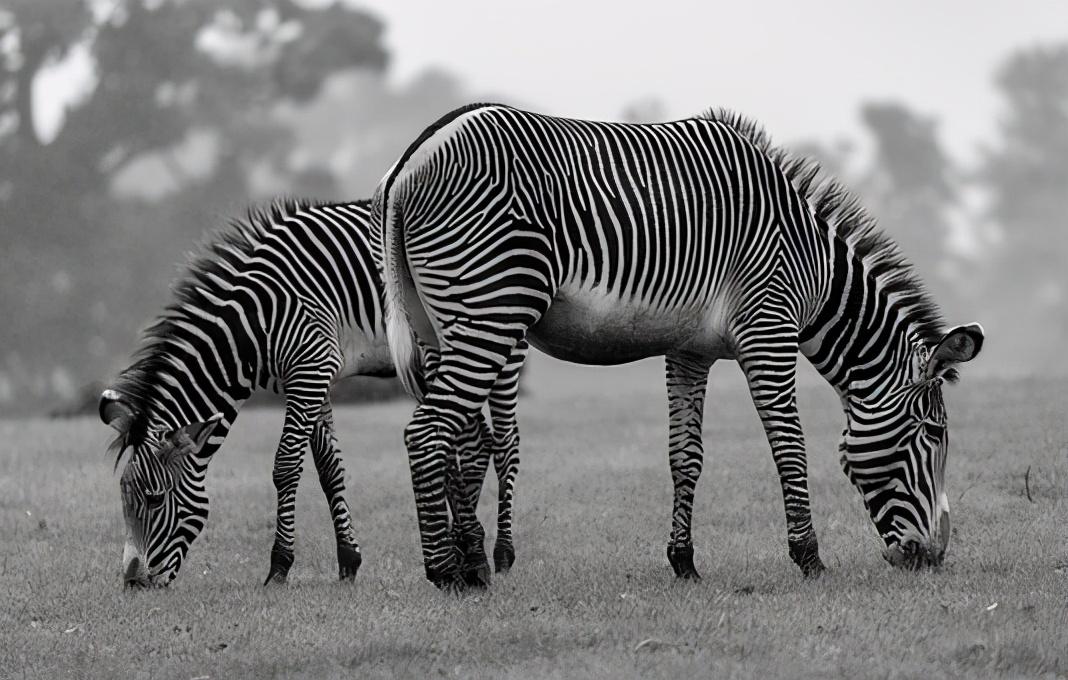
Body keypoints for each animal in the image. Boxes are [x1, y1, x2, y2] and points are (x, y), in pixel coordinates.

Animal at [101, 197, 527, 589]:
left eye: (155, 499)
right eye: (123, 497)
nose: (133, 584)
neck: (257, 323)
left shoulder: (310, 370)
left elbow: (286, 467)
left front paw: (279, 567)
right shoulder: (310, 378)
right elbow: (328, 468)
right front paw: (349, 561)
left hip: (502, 339)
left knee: (505, 441)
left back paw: (502, 554)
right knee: (474, 443)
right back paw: (466, 547)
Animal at [380, 104, 986, 589]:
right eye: (934, 434)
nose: (933, 556)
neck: (810, 261)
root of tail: (412, 157)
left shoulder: (689, 350)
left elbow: (685, 456)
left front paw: (684, 561)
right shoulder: (769, 329)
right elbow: (790, 448)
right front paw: (810, 559)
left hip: (439, 325)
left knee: (460, 437)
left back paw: (473, 564)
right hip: (493, 307)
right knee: (426, 431)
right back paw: (445, 573)